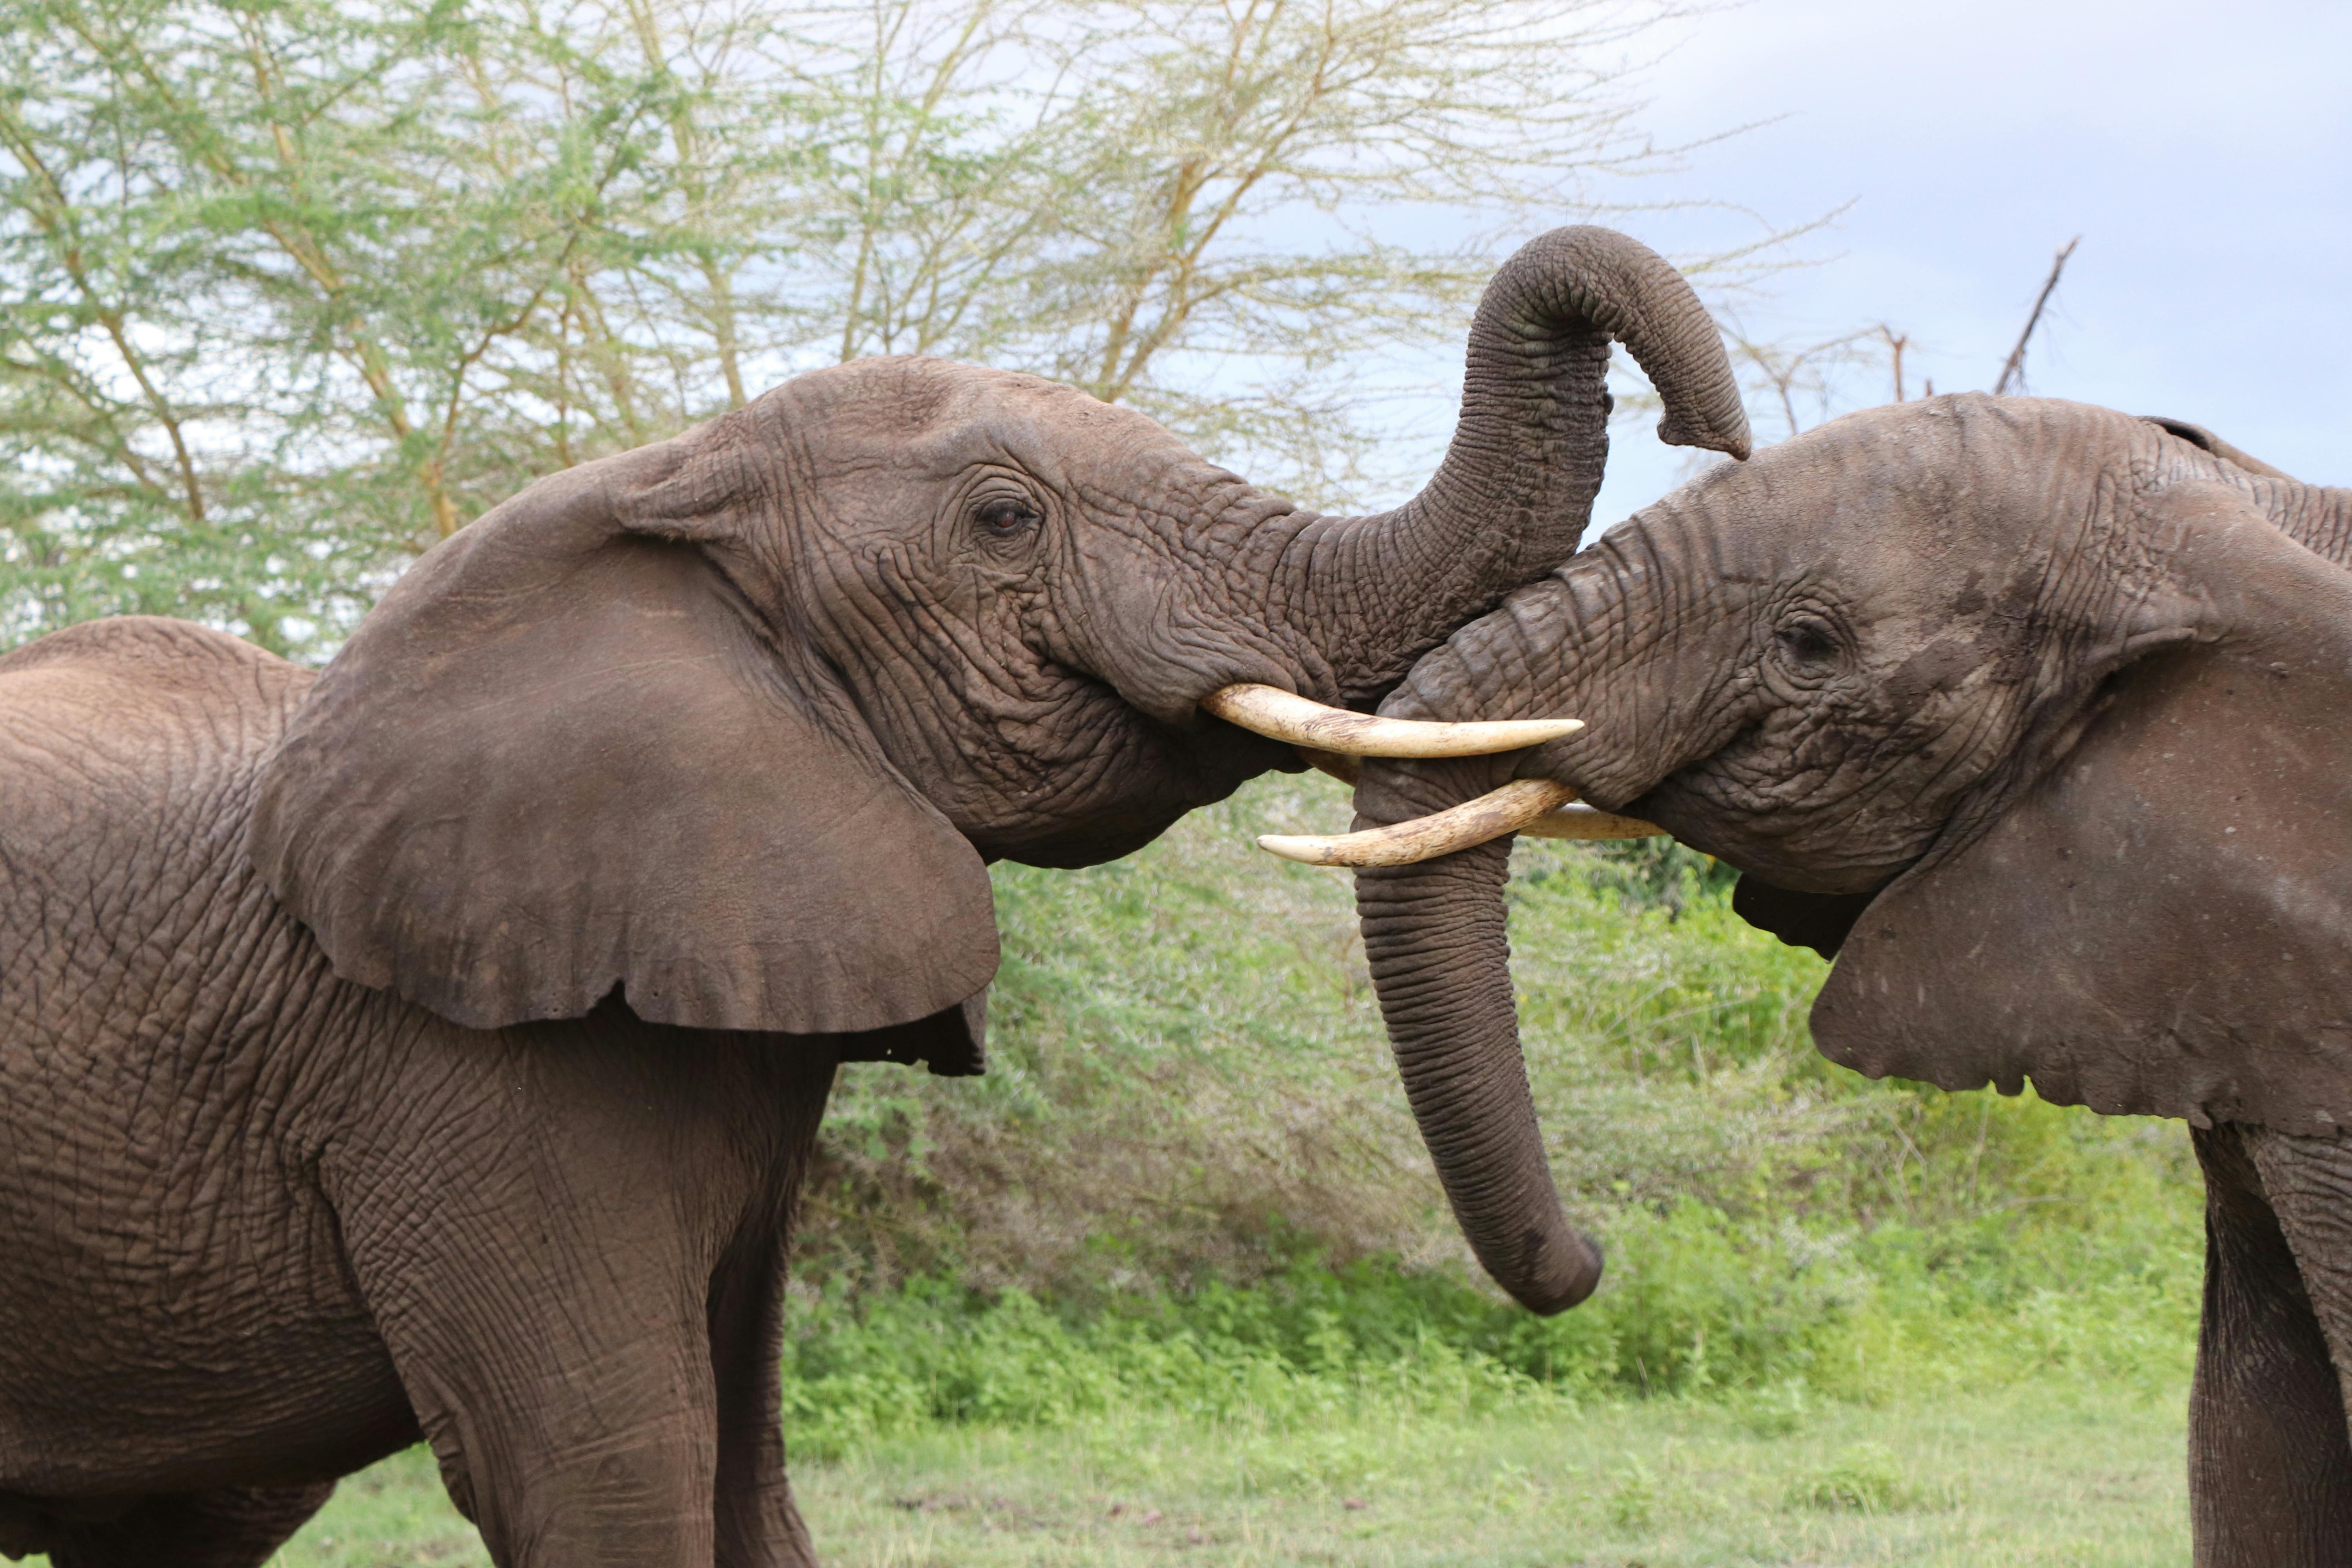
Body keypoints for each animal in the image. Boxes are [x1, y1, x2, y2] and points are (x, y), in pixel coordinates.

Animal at [0, 228, 1749, 1567]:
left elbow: (746, 1481)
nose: (1716, 439)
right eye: (1005, 519)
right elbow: (600, 1477)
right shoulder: (457, 1068)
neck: (661, 480)